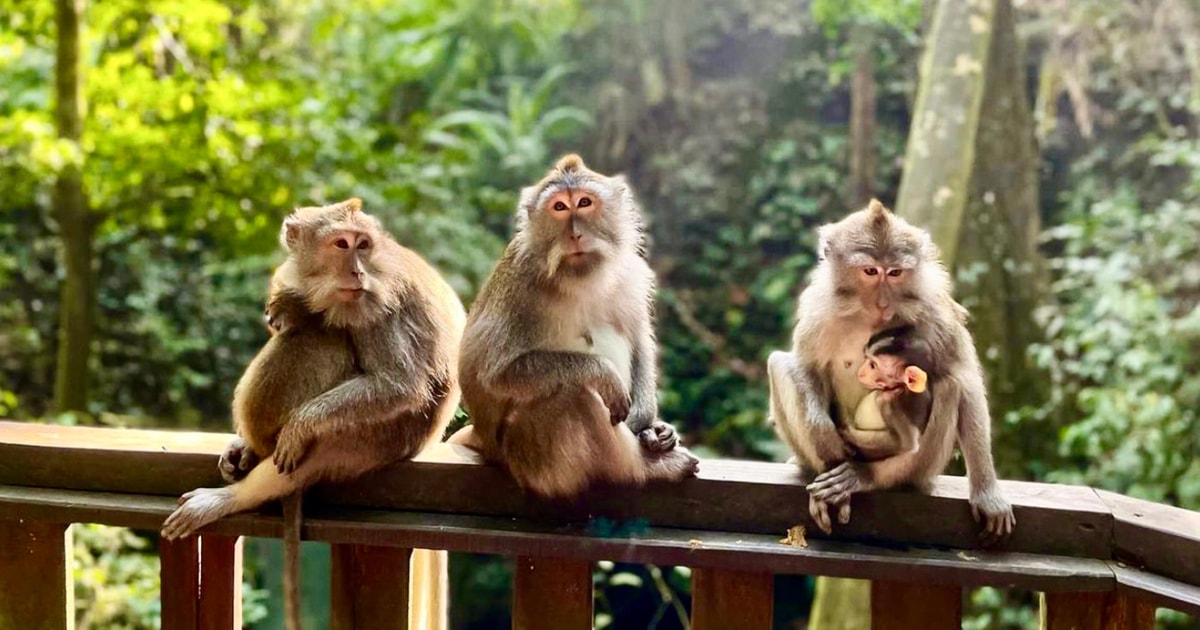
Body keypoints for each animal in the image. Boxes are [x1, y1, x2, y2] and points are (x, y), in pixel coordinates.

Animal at [161, 197, 465, 630]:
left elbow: (399, 383)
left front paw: (301, 424)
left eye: (362, 245)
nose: (357, 271)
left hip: (376, 438)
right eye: (341, 244)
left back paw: (232, 496)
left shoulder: (378, 301)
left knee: (322, 339)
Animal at [451, 154, 698, 499]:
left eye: (584, 202)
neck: (578, 277)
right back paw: (645, 468)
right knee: (575, 394)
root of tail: (486, 443)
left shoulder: (630, 273)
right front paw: (603, 374)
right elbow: (497, 374)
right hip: (531, 458)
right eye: (558, 207)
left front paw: (649, 424)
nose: (575, 234)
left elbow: (639, 342)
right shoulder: (519, 286)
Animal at [841, 324, 932, 462]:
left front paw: (847, 431)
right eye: (866, 359)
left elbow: (908, 445)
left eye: (873, 365)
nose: (860, 372)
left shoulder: (894, 404)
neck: (899, 388)